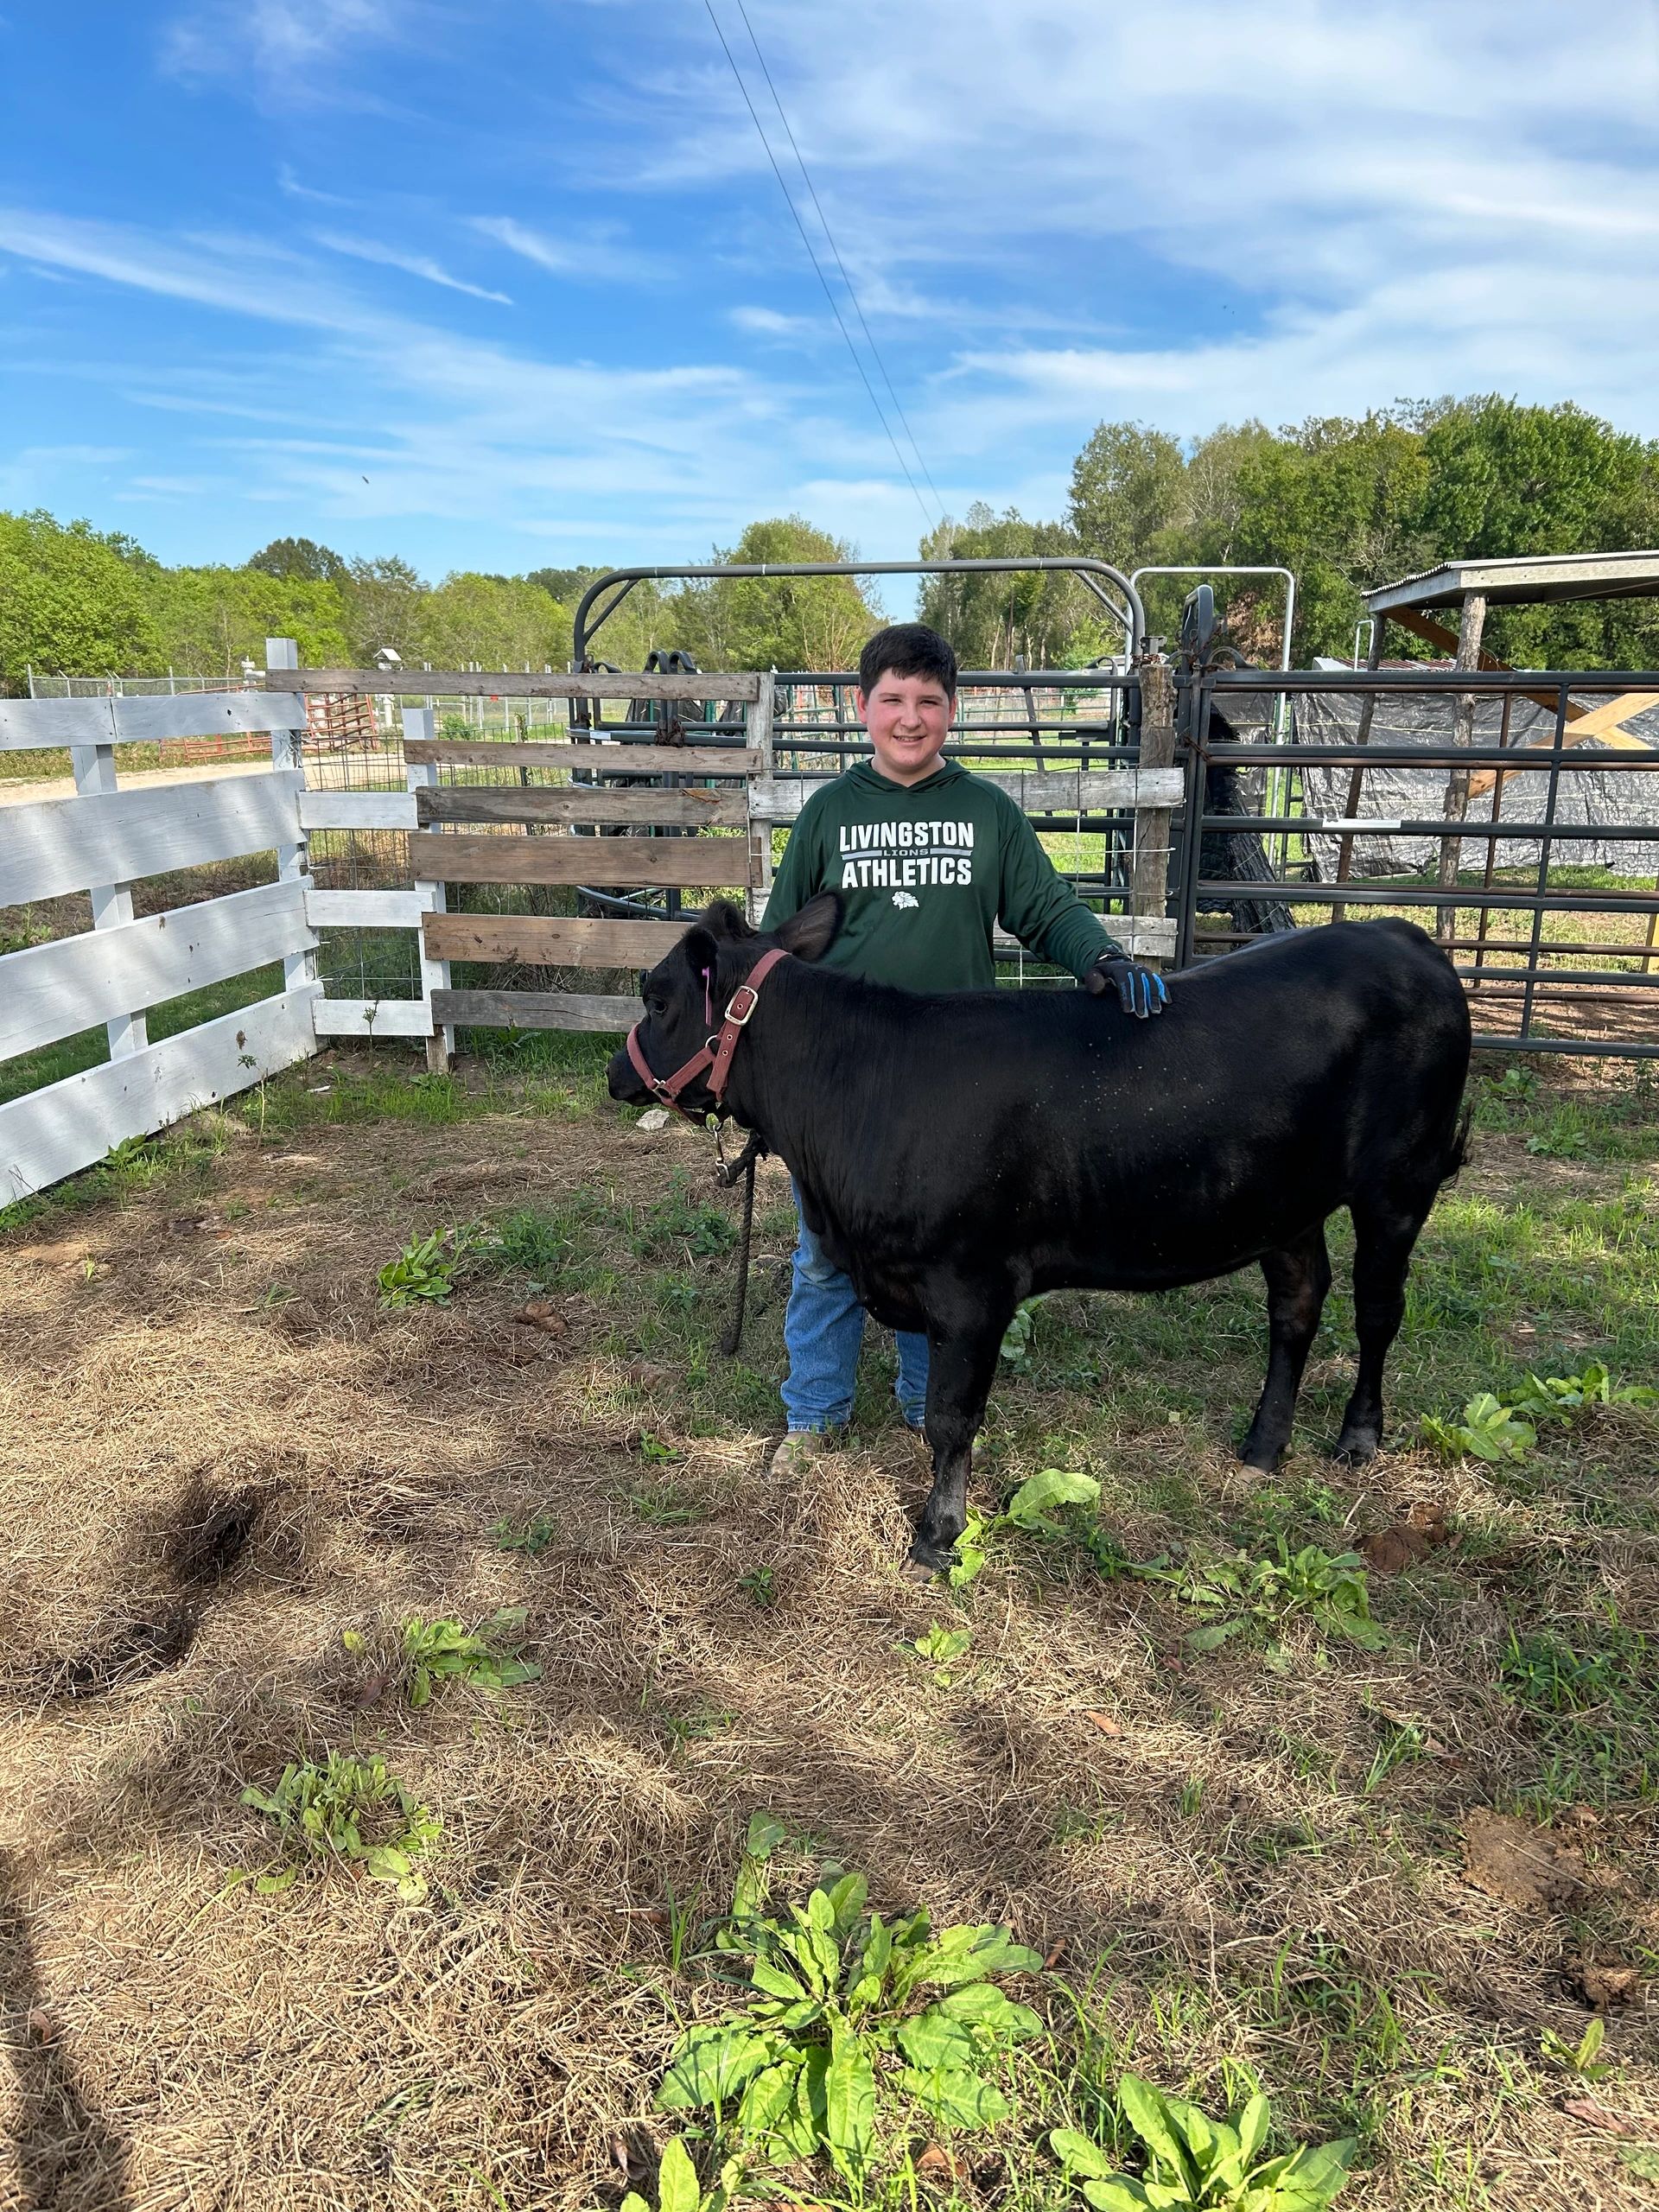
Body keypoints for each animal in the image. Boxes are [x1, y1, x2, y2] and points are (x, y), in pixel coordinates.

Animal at [608, 894, 1471, 1575]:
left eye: (657, 999)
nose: (618, 1076)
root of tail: (1401, 934)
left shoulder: (972, 1285)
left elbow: (952, 1419)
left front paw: (937, 1537)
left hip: (1400, 1182)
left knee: (1376, 1309)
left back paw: (1358, 1437)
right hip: (1284, 1200)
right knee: (1296, 1305)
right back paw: (1262, 1448)